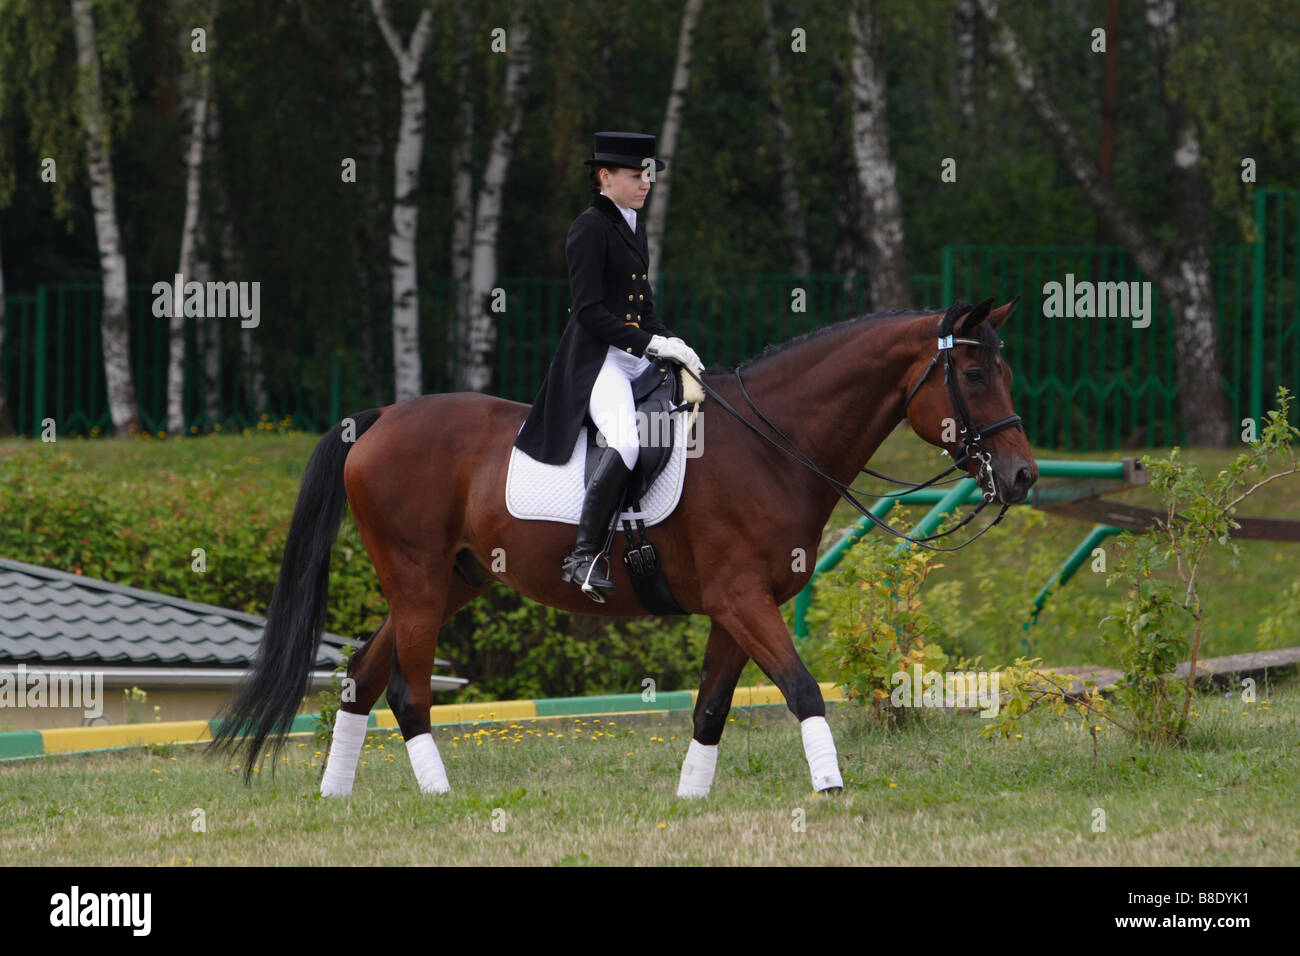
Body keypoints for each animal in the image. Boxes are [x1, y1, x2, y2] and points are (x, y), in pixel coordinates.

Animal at [210, 297, 1038, 798]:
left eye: (1005, 368)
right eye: (971, 373)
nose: (1024, 475)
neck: (774, 444)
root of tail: (378, 420)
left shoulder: (736, 607)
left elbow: (711, 708)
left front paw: (689, 799)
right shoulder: (744, 600)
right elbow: (802, 688)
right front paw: (830, 789)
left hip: (452, 583)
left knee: (359, 677)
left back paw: (336, 795)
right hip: (418, 583)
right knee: (406, 691)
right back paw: (440, 796)